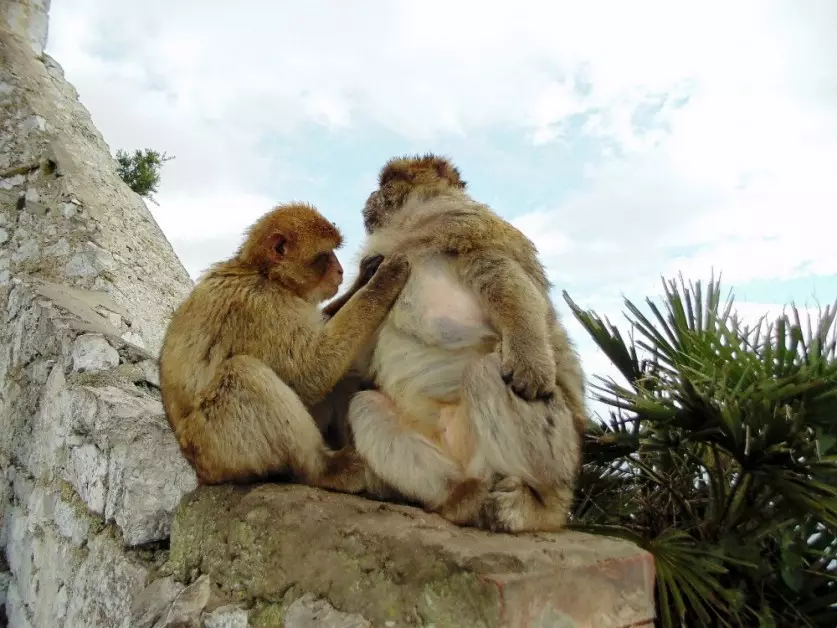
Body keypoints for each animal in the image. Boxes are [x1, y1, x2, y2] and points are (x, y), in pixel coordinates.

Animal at [158, 201, 410, 490]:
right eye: (325, 255)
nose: (340, 271)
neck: (266, 275)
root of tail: (201, 472)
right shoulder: (259, 306)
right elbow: (310, 372)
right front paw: (385, 278)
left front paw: (366, 276)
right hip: (218, 450)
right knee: (243, 373)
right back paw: (325, 469)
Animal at [346, 155, 588, 532]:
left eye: (384, 184)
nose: (370, 195)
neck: (409, 231)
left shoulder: (467, 227)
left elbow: (498, 271)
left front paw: (531, 362)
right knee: (366, 404)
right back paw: (460, 498)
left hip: (558, 456)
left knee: (487, 370)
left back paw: (538, 507)